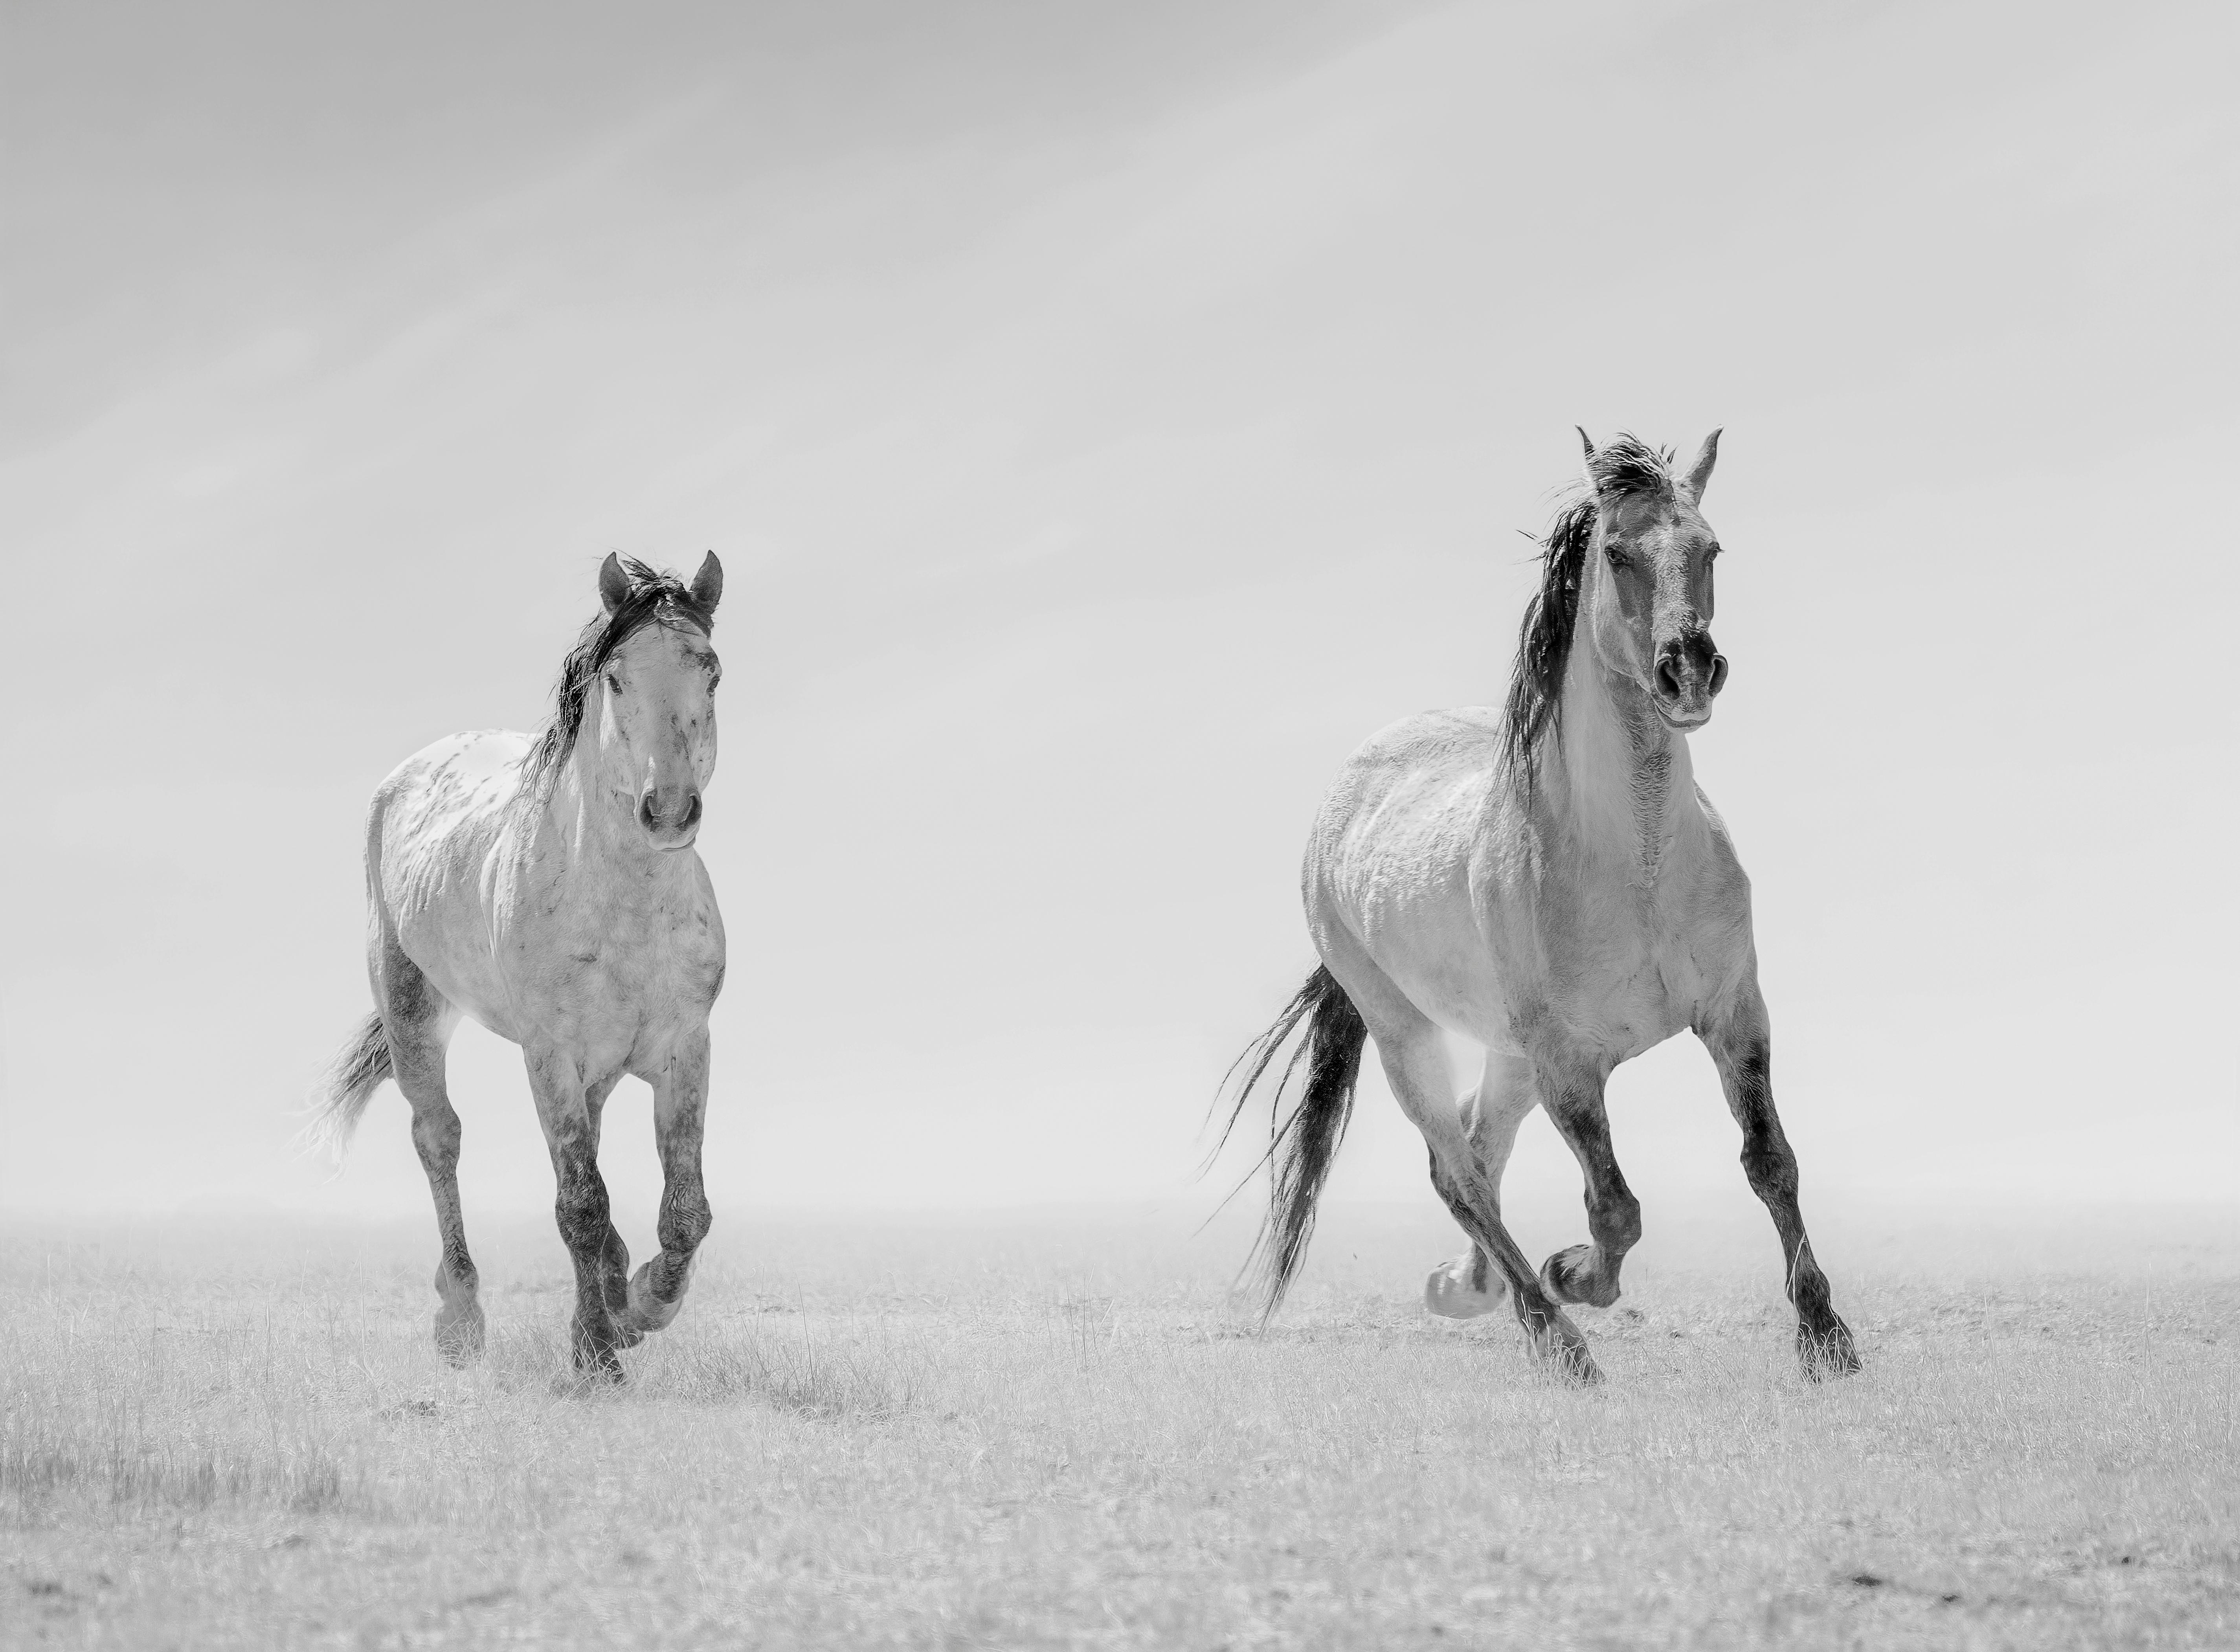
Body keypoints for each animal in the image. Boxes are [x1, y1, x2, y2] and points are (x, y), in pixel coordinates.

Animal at [309, 552, 728, 1379]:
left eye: (712, 671)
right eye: (617, 678)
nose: (668, 810)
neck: (626, 905)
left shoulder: (684, 1048)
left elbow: (685, 1212)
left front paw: (638, 1304)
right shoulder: (550, 1055)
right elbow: (581, 1204)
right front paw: (600, 1348)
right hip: (412, 1012)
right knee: (439, 1138)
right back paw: (461, 1319)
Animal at [1217, 431, 1859, 1385]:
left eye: (1710, 549)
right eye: (1619, 553)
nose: (1689, 670)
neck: (1636, 866)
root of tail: (1348, 790)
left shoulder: (1736, 1013)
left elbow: (1770, 1161)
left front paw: (1826, 1335)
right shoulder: (1570, 1062)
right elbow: (1615, 1206)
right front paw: (1574, 1275)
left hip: (1508, 1052)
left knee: (1478, 1147)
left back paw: (1466, 1287)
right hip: (1409, 1035)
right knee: (1459, 1171)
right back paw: (1552, 1331)